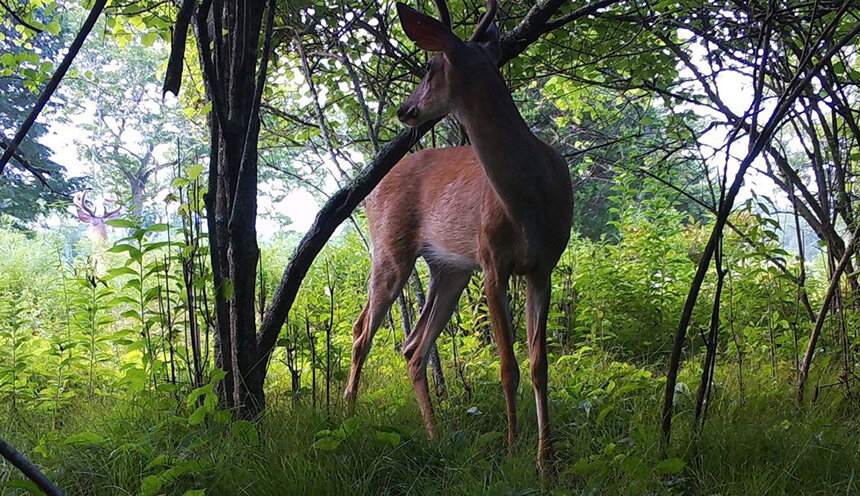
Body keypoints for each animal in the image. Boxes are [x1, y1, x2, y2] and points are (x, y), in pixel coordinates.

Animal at [344, 0, 573, 471]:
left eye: (430, 66)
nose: (405, 110)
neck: (530, 196)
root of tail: (371, 190)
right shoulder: (492, 262)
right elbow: (508, 367)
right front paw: (512, 451)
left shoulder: (542, 266)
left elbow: (538, 364)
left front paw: (546, 460)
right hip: (391, 249)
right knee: (362, 331)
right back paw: (346, 417)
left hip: (449, 269)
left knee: (413, 346)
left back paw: (435, 436)